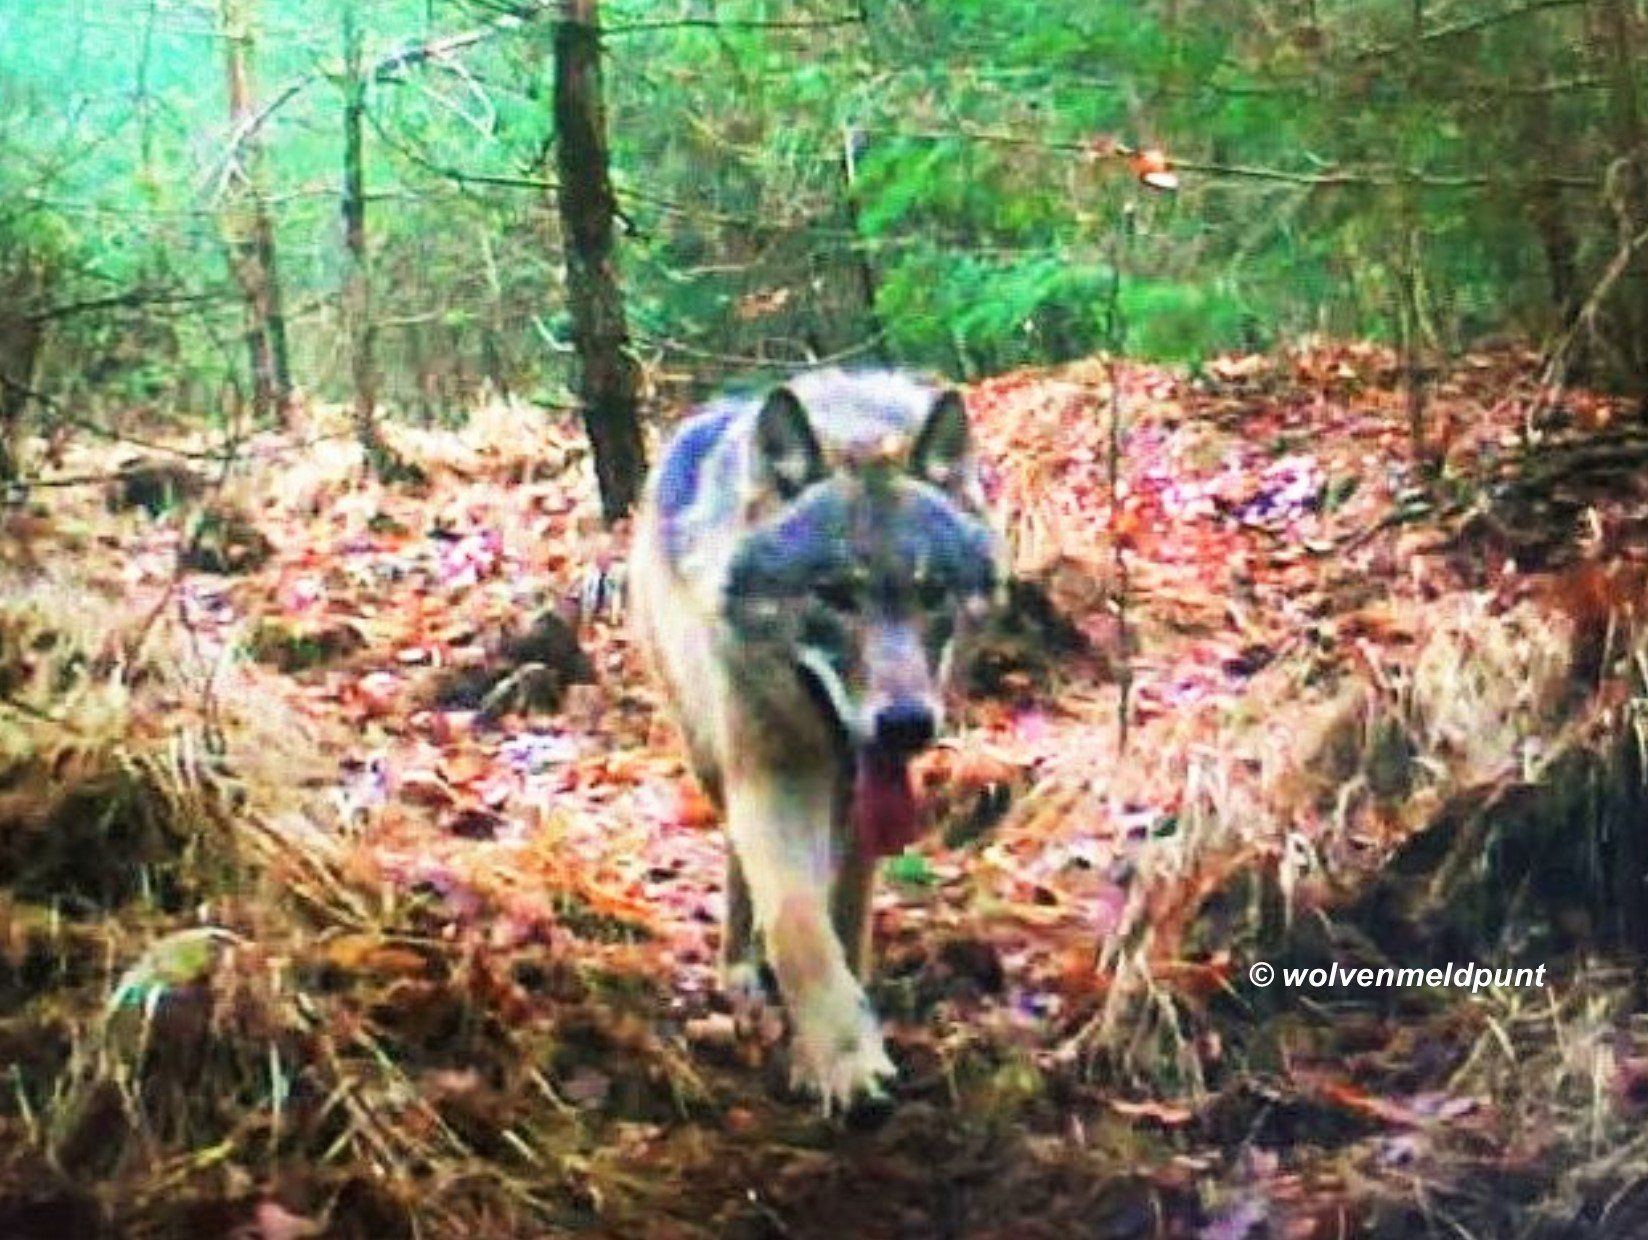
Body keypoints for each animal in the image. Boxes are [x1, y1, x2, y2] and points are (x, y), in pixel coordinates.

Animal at [630, 369, 1002, 1110]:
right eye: (834, 595)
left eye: (933, 593)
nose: (906, 724)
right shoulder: (771, 777)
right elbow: (798, 924)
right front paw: (843, 1059)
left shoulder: (861, 811)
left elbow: (844, 917)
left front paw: (826, 1047)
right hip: (712, 759)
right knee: (739, 864)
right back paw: (740, 970)